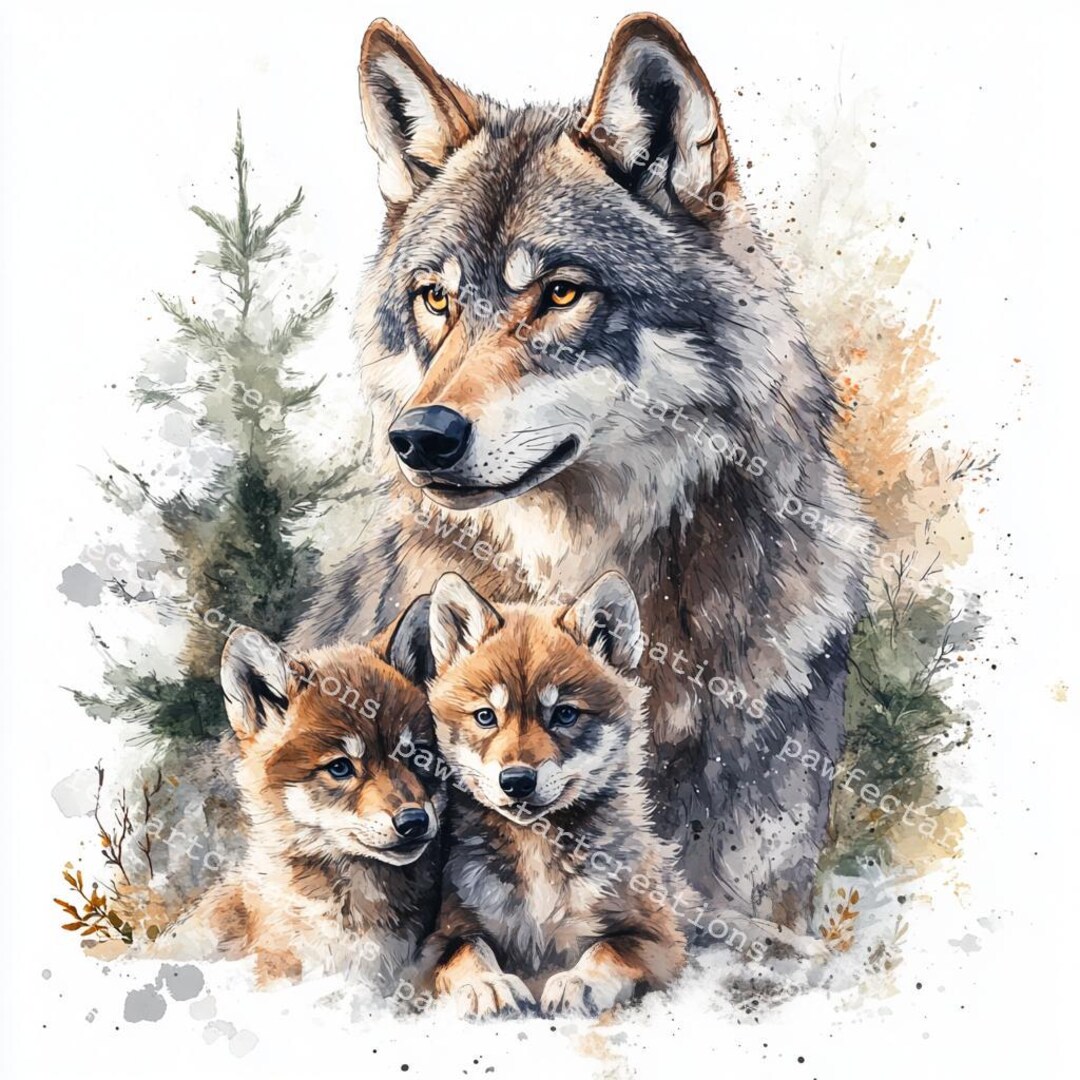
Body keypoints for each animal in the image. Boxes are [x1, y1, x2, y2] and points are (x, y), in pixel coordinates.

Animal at [418, 571, 687, 1017]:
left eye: (564, 714)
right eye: (486, 717)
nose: (516, 780)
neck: (537, 851)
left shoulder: (659, 935)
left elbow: (607, 949)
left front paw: (578, 981)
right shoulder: (442, 936)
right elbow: (469, 952)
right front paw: (489, 984)